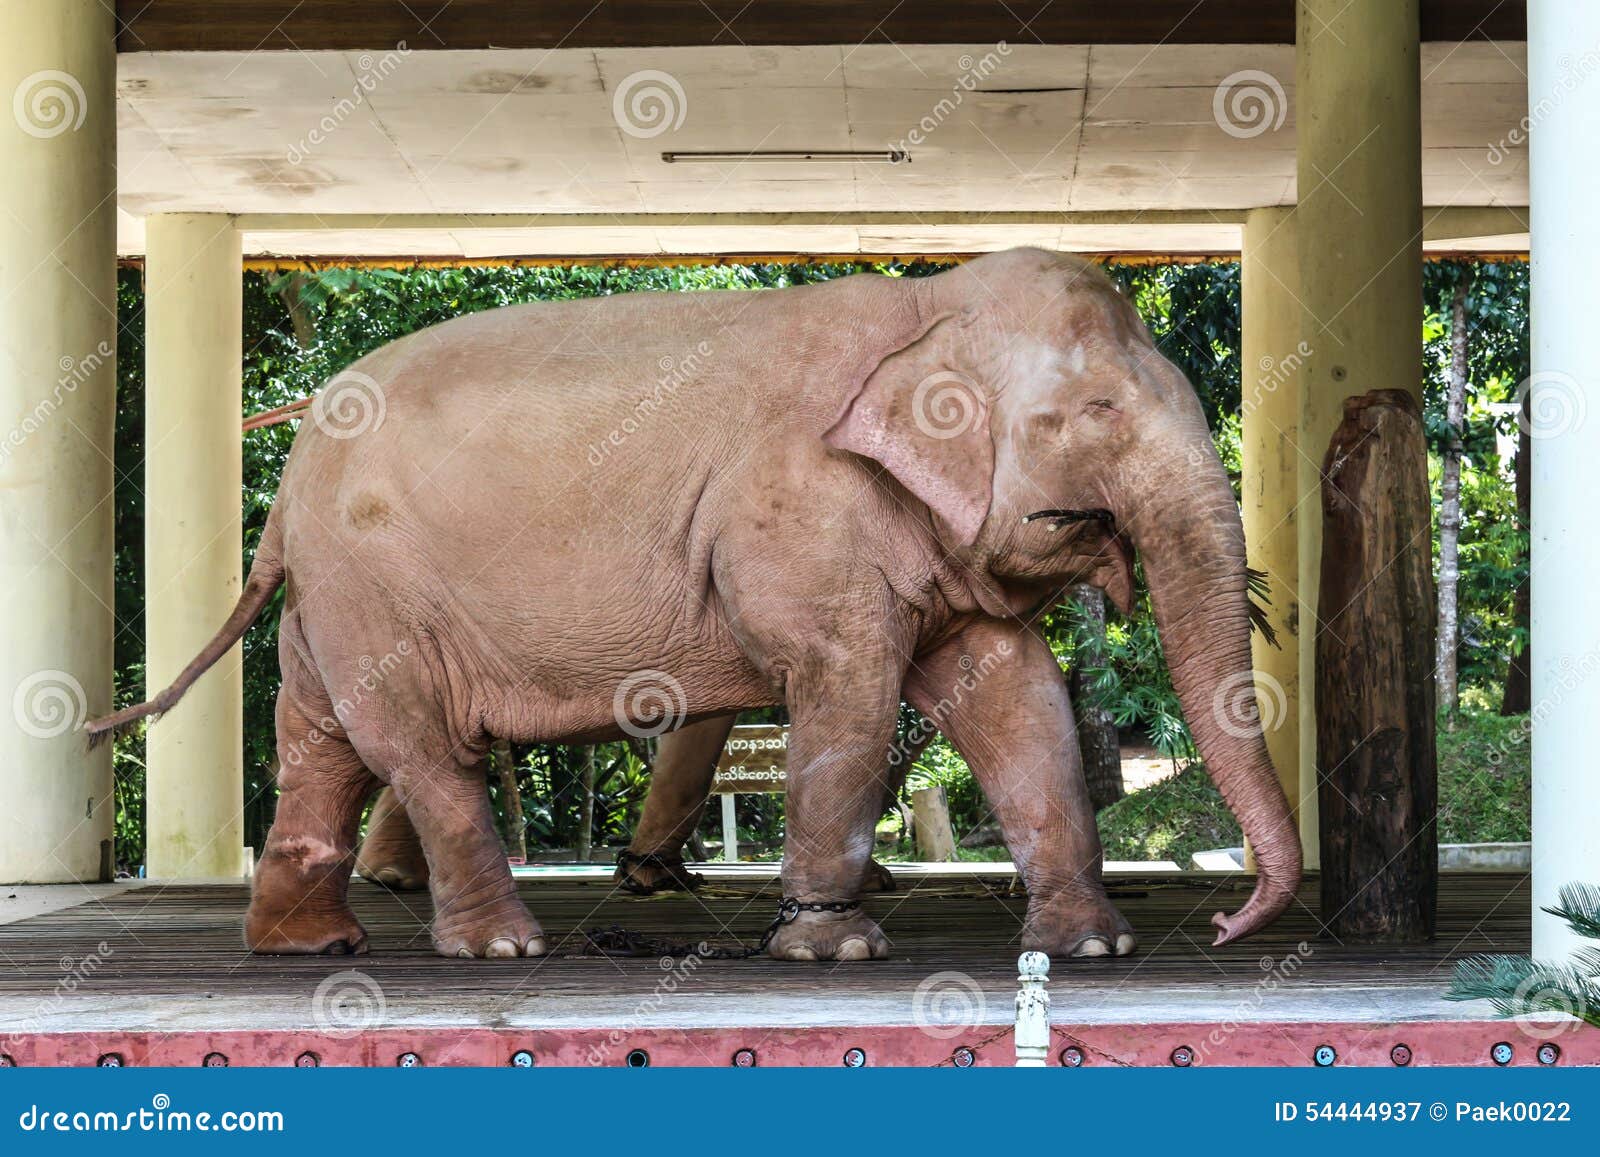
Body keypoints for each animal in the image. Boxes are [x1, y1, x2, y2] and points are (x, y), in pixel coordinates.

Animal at [90, 248, 1300, 961]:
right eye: (1095, 412)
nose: (1229, 922)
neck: (928, 301)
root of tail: (288, 487)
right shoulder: (800, 511)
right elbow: (849, 687)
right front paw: (831, 947)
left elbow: (1015, 687)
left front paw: (1090, 946)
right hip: (375, 586)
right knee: (415, 744)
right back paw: (499, 948)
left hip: (334, 596)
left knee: (319, 738)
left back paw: (309, 945)